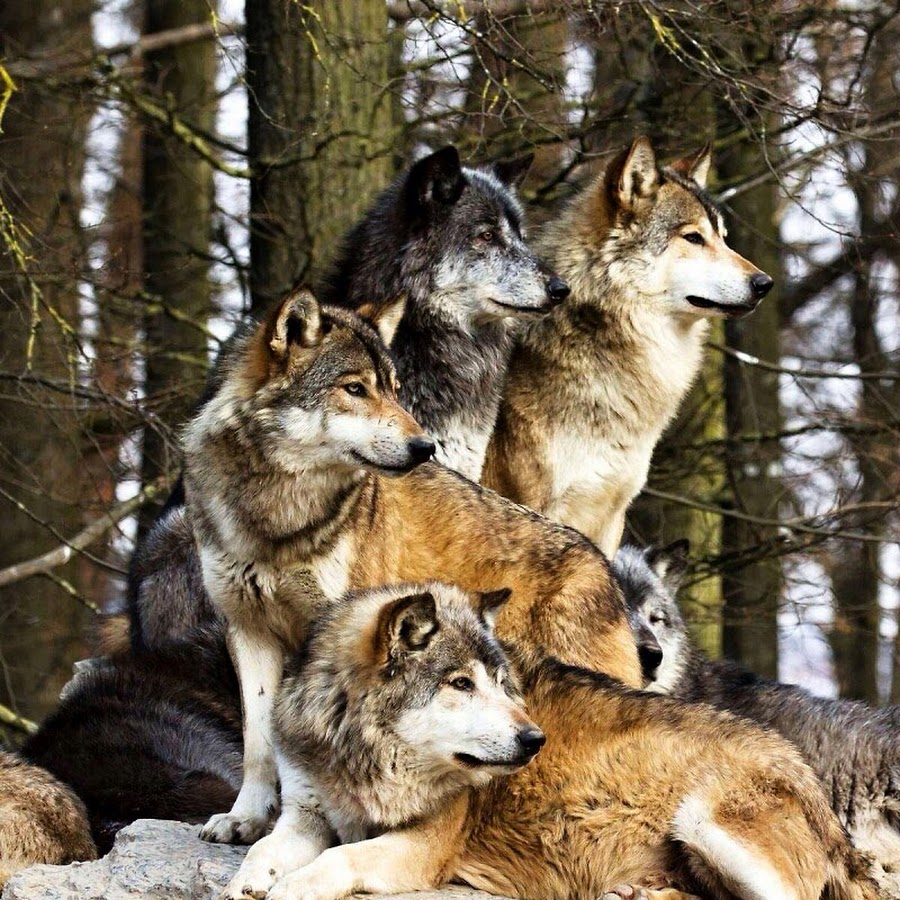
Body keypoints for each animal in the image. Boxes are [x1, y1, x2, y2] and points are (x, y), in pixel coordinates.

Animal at [177, 288, 640, 847]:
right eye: (355, 389)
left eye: (395, 391)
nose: (424, 447)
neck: (278, 517)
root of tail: (603, 565)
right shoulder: (247, 630)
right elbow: (259, 743)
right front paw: (245, 817)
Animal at [224, 583, 882, 900]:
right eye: (461, 684)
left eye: (502, 683)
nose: (533, 738)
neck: (361, 757)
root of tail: (821, 798)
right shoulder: (306, 814)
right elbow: (266, 850)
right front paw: (249, 882)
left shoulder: (424, 847)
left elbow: (342, 858)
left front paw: (291, 888)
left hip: (703, 820)